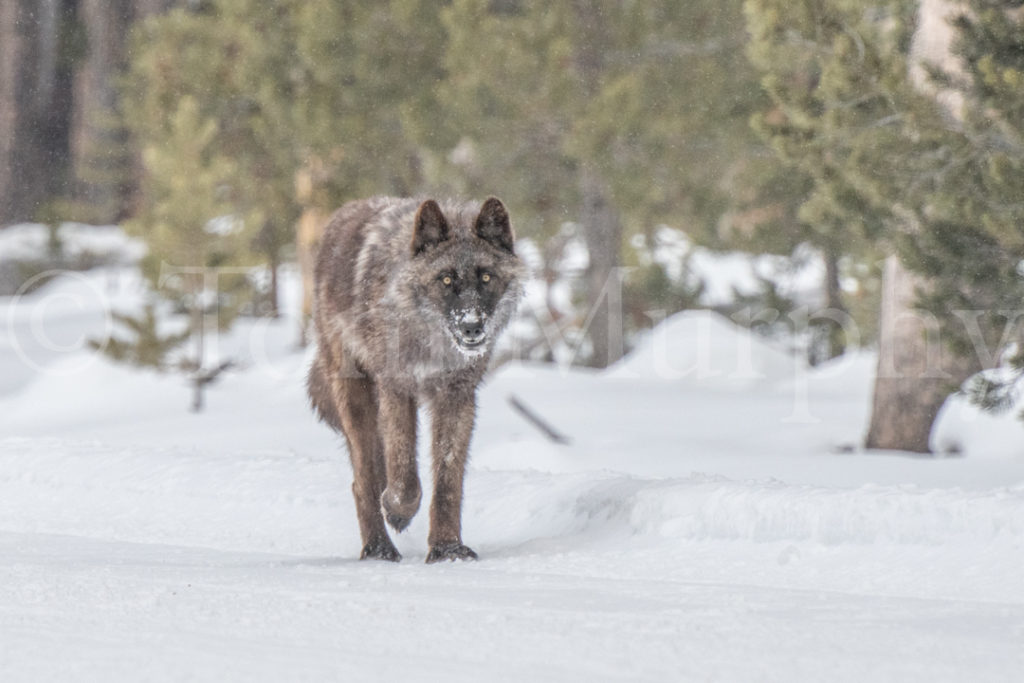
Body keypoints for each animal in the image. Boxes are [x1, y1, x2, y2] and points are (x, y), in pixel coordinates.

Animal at [307, 196, 523, 563]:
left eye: (486, 277)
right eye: (446, 280)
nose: (471, 327)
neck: (434, 342)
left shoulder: (457, 398)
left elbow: (448, 483)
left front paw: (447, 549)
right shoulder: (397, 390)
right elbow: (405, 476)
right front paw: (398, 512)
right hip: (357, 401)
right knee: (363, 480)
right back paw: (378, 548)